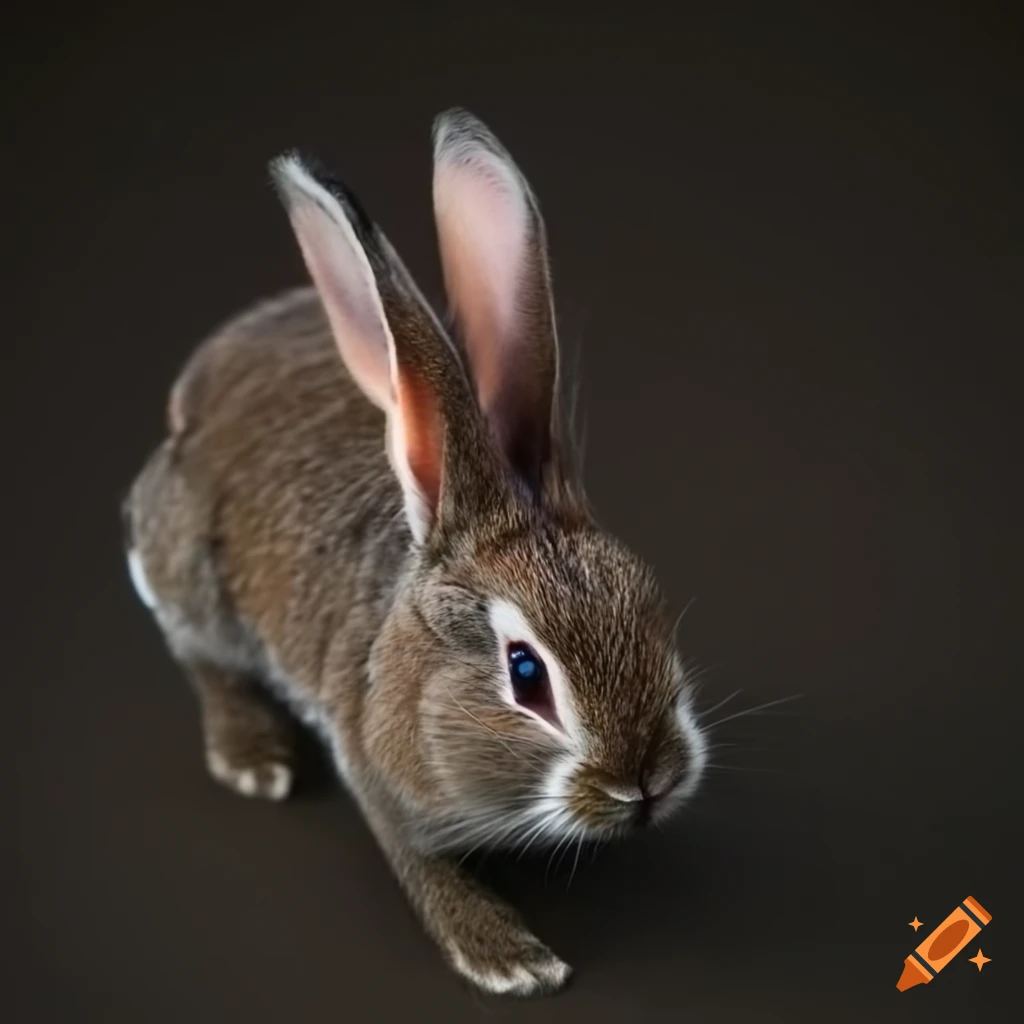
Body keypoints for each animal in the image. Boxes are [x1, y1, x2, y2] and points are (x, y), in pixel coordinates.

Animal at [122, 108, 707, 997]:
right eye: (525, 674)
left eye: (653, 612)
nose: (645, 781)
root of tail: (196, 388)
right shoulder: (378, 773)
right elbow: (421, 866)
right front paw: (510, 960)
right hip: (189, 575)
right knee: (201, 656)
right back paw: (253, 757)